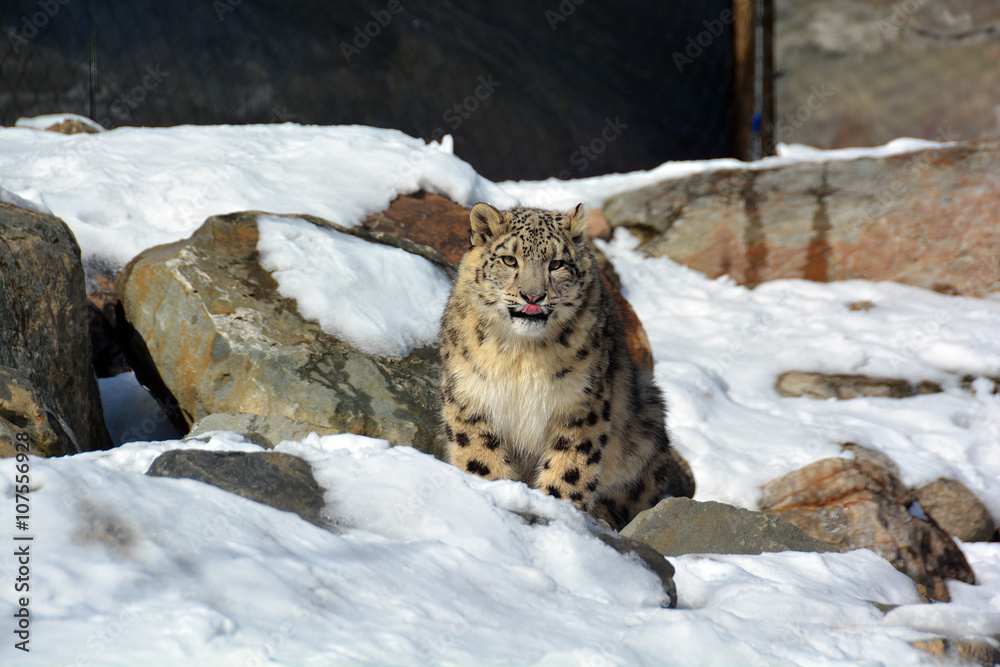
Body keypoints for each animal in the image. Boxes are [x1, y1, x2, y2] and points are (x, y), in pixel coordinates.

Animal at [438, 203, 695, 531]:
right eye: (509, 260)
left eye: (557, 264)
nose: (533, 296)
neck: (522, 357)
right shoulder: (471, 396)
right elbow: (479, 457)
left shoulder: (578, 406)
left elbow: (570, 467)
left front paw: (557, 508)